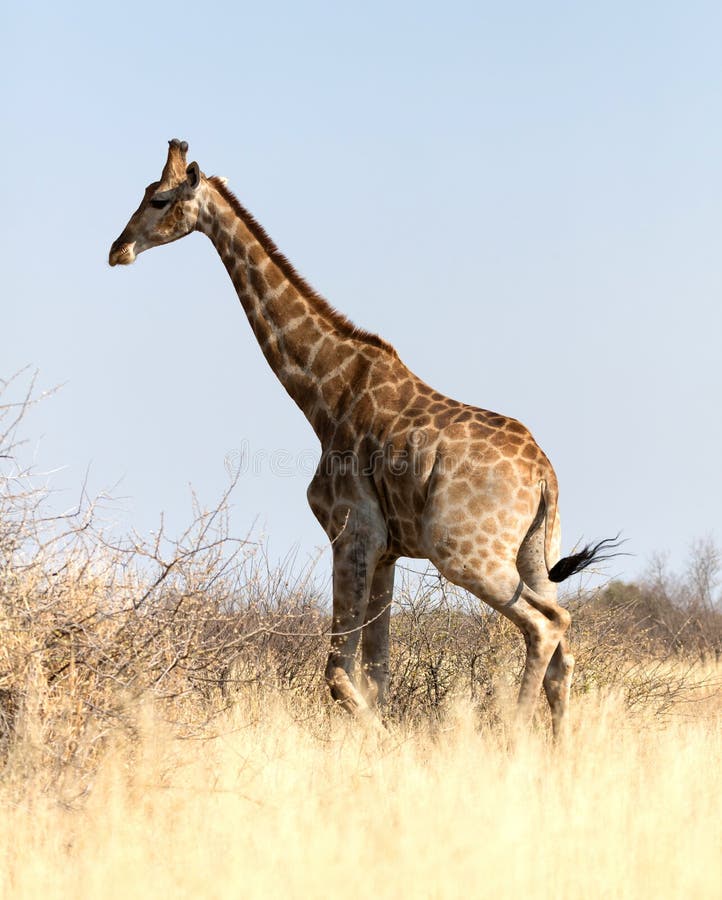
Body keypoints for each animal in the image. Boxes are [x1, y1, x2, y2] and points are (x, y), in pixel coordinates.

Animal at [109, 139, 616, 736]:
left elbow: (338, 675)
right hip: (534, 553)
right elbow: (377, 673)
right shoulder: (387, 551)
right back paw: (557, 750)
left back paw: (512, 735)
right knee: (564, 649)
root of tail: (544, 474)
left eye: (160, 199)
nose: (118, 249)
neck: (323, 394)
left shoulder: (352, 532)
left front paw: (385, 742)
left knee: (546, 624)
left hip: (462, 550)